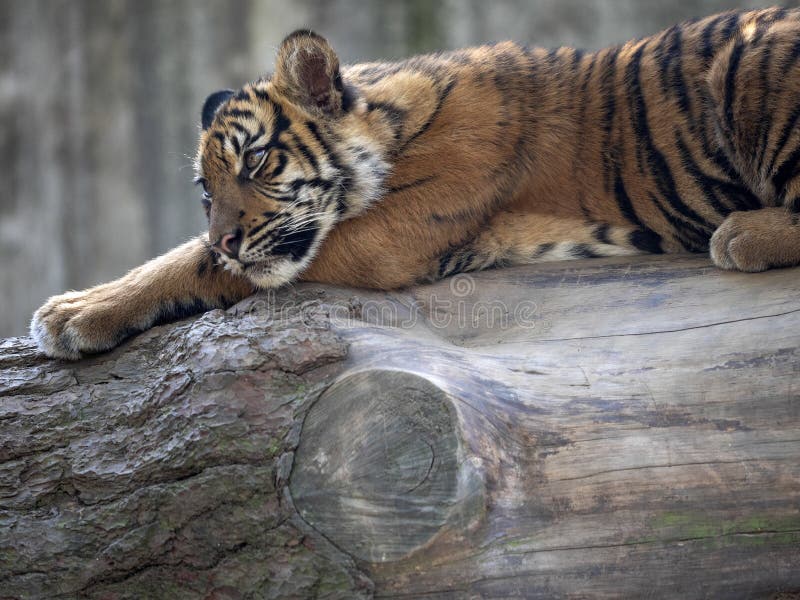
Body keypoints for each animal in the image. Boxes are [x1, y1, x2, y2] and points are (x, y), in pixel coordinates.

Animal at [31, 8, 800, 360]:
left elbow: (190, 263)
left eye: (256, 164)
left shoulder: (385, 237)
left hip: (750, 58)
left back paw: (741, 234)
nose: (225, 237)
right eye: (204, 191)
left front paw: (74, 313)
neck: (391, 129)